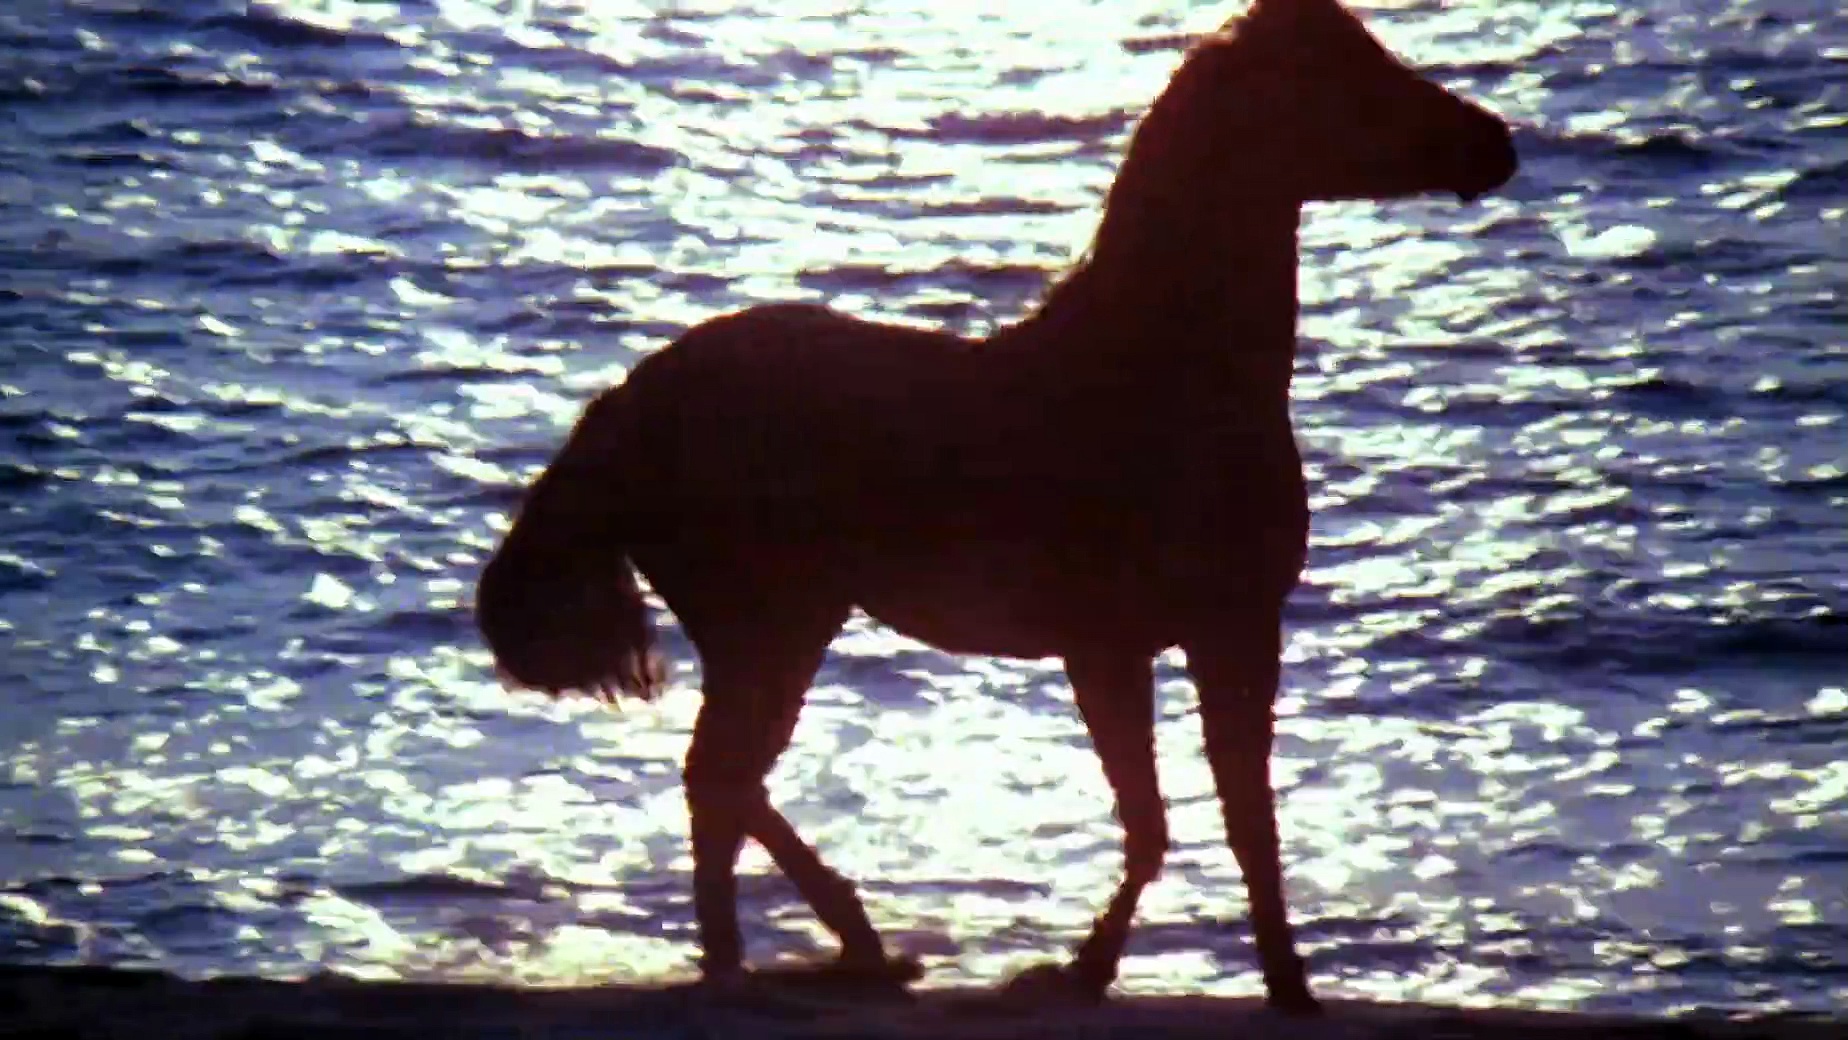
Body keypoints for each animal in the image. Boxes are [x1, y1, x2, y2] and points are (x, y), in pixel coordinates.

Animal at [476, 0, 1516, 1015]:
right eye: (1348, 78)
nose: (1495, 144)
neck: (1163, 372)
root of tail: (623, 409)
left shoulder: (1232, 634)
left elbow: (1242, 820)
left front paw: (1282, 985)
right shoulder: (1117, 648)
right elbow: (1161, 820)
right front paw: (1079, 971)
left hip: (783, 627)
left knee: (726, 785)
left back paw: (824, 952)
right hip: (774, 627)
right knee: (721, 779)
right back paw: (801, 956)